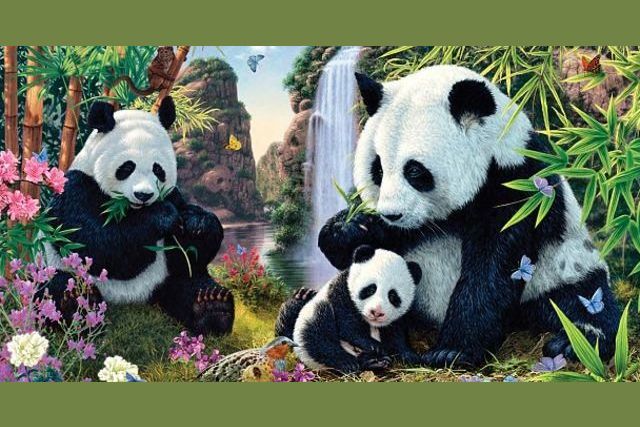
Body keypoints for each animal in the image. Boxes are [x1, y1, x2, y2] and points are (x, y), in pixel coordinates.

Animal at [42, 97, 234, 335]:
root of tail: (137, 300)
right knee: (56, 286)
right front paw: (162, 216)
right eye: (127, 167)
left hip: (163, 278)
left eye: (158, 169)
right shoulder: (75, 190)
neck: (131, 209)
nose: (144, 195)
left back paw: (211, 307)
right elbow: (98, 244)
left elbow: (190, 253)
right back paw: (74, 305)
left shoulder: (173, 194)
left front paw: (197, 223)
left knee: (186, 281)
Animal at [276, 245, 422, 373]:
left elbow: (396, 334)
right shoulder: (342, 291)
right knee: (318, 333)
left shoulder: (396, 318)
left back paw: (373, 362)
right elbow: (348, 326)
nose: (376, 312)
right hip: (311, 319)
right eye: (371, 289)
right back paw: (347, 362)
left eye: (392, 296)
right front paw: (375, 346)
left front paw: (410, 356)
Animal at [318, 65, 621, 368]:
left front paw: (452, 351)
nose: (392, 214)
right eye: (378, 169)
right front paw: (349, 227)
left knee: (582, 302)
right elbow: (362, 252)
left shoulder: (520, 187)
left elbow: (493, 265)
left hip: (564, 268)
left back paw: (574, 342)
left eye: (414, 171)